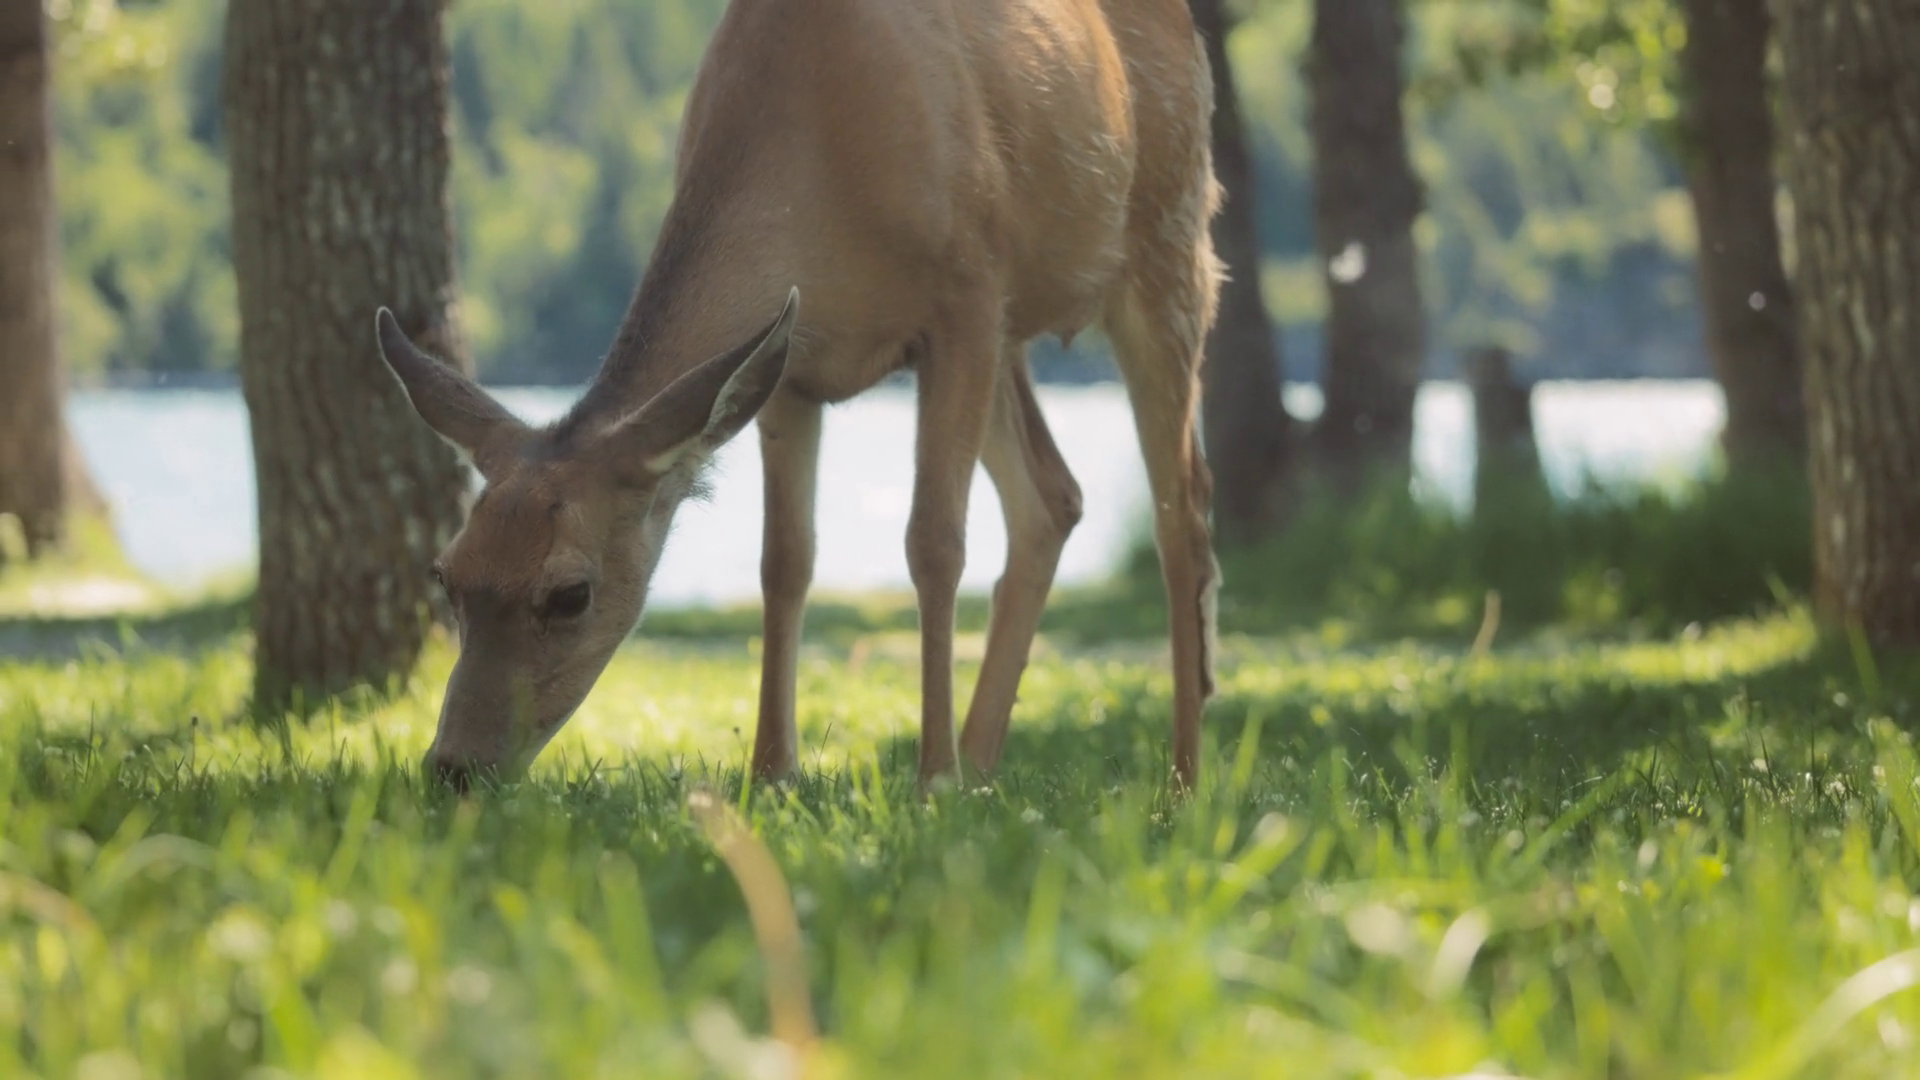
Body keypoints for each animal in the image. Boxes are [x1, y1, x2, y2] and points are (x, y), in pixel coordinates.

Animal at [371, 0, 1224, 794]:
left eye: (571, 594)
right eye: (447, 575)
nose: (453, 767)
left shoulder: (966, 296)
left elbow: (933, 543)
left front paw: (930, 780)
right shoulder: (783, 364)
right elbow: (784, 559)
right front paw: (772, 774)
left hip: (1168, 242)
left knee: (1180, 516)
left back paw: (1180, 781)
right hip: (1016, 336)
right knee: (1053, 497)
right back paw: (985, 769)